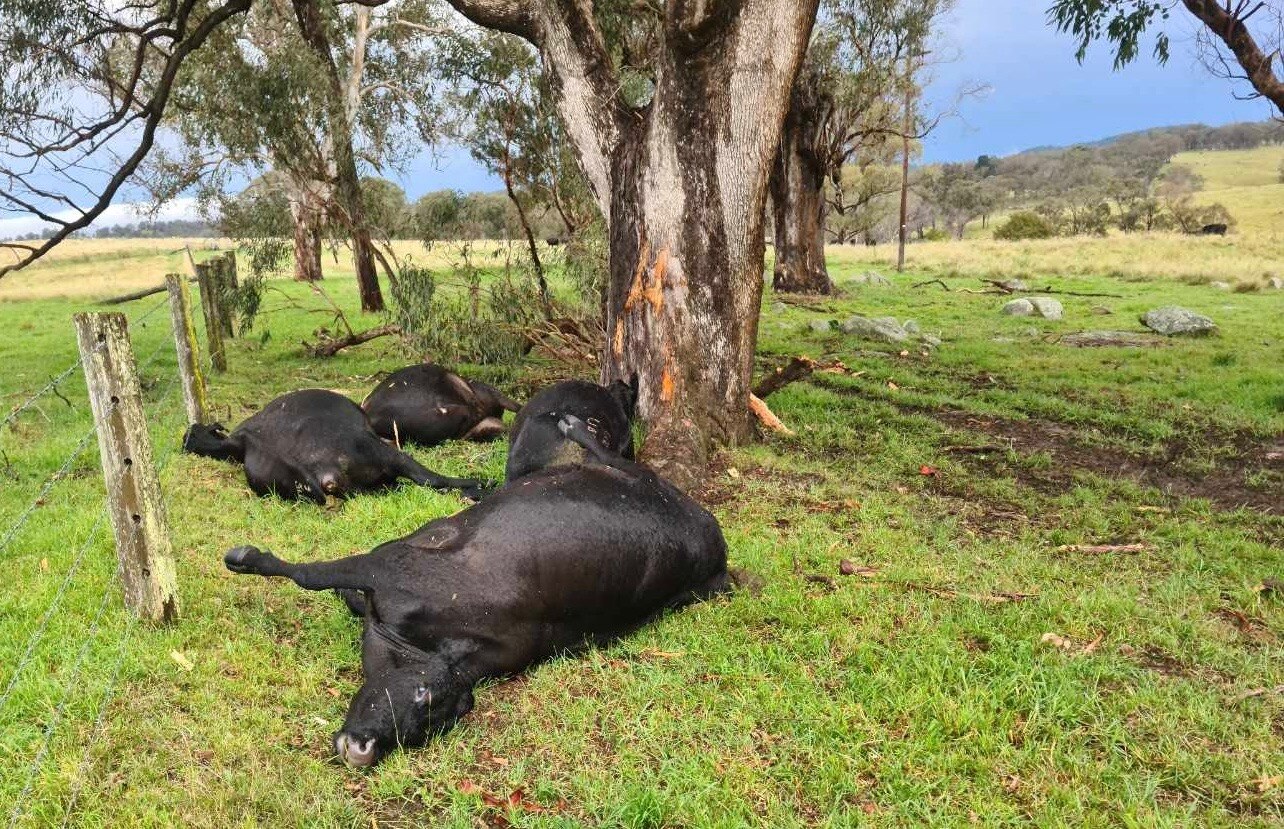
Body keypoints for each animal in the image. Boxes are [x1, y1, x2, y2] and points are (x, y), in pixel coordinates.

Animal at [223, 414, 730, 767]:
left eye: (428, 714)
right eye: (423, 697)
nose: (363, 751)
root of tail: (714, 539)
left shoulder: (389, 564)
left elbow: (311, 573)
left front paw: (247, 557)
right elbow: (330, 582)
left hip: (642, 480)